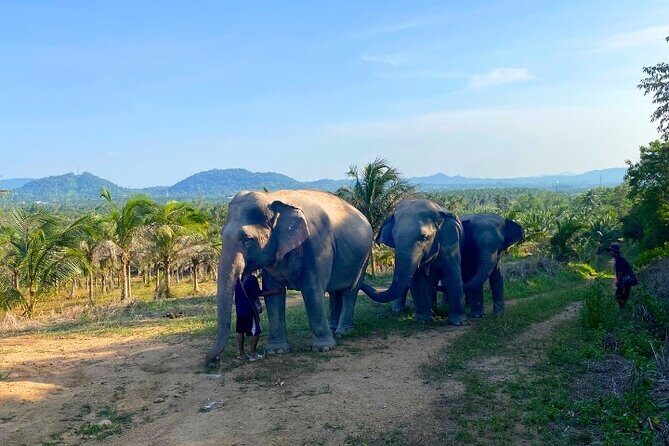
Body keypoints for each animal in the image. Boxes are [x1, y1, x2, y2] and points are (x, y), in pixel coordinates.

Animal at [205, 189, 373, 364]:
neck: (272, 197)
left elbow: (312, 291)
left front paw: (323, 348)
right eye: (221, 235)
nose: (215, 360)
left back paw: (342, 332)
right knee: (335, 292)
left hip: (364, 257)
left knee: (350, 291)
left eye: (247, 240)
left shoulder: (318, 246)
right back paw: (333, 329)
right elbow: (273, 294)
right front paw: (276, 350)